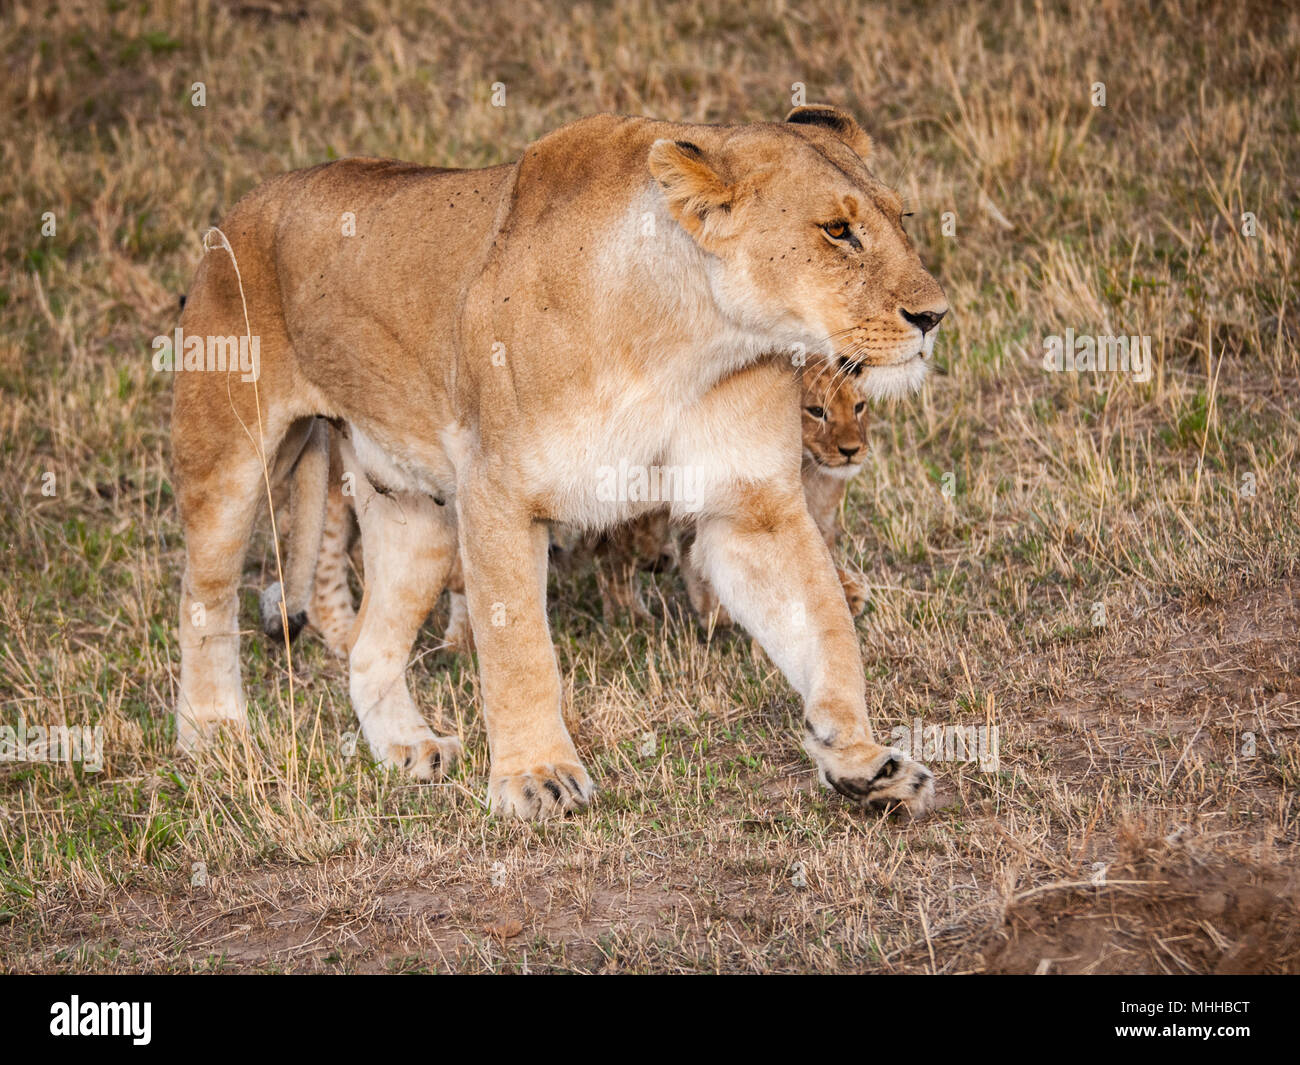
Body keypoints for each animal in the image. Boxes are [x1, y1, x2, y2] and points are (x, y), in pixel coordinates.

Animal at [171, 105, 948, 819]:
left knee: (367, 647)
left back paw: (407, 747)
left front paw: (862, 759)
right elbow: (519, 650)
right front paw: (535, 776)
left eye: (901, 217)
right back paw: (212, 734)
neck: (690, 338)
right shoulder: (496, 490)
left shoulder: (749, 508)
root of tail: (239, 210)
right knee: (204, 597)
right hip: (228, 460)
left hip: (413, 509)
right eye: (837, 231)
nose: (933, 316)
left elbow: (825, 628)